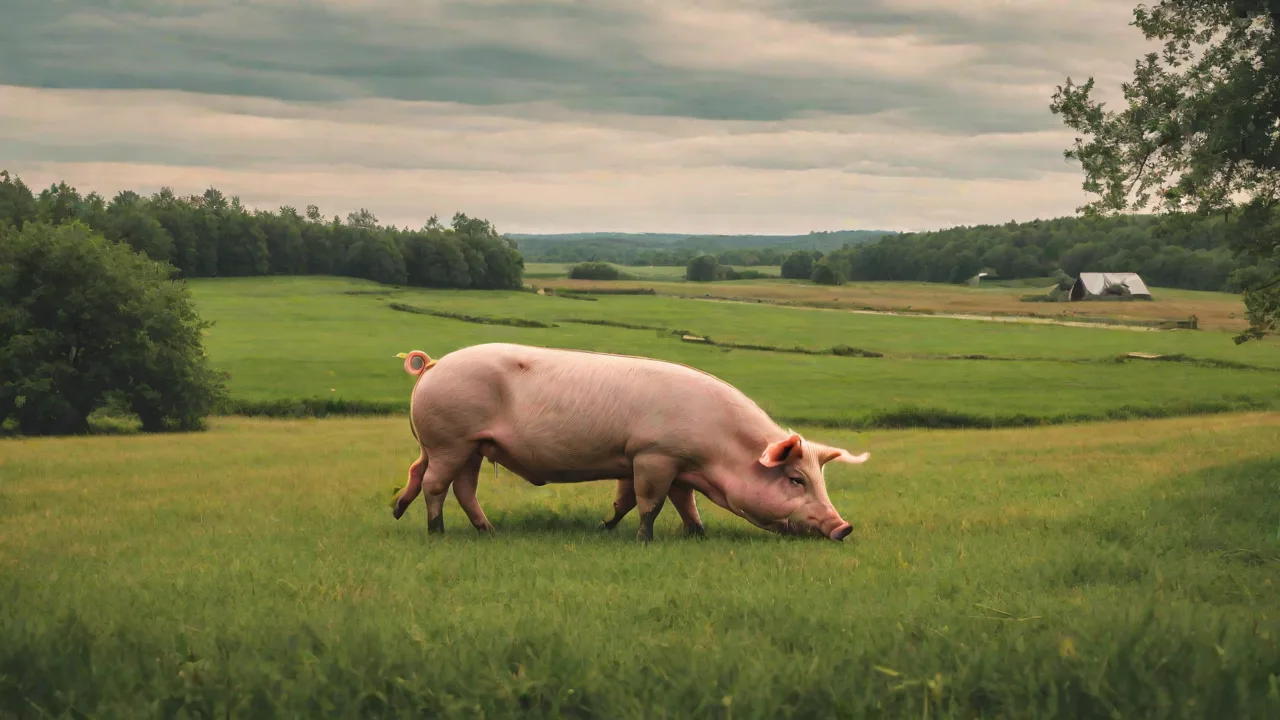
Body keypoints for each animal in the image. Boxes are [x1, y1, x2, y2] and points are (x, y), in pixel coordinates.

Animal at [391, 343, 870, 542]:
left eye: (819, 480)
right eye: (795, 480)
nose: (844, 527)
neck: (716, 455)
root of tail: (432, 366)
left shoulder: (667, 464)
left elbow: (672, 502)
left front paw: (694, 534)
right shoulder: (654, 455)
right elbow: (649, 503)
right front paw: (643, 539)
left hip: (471, 445)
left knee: (457, 485)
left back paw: (479, 530)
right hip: (451, 439)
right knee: (436, 485)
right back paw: (437, 532)